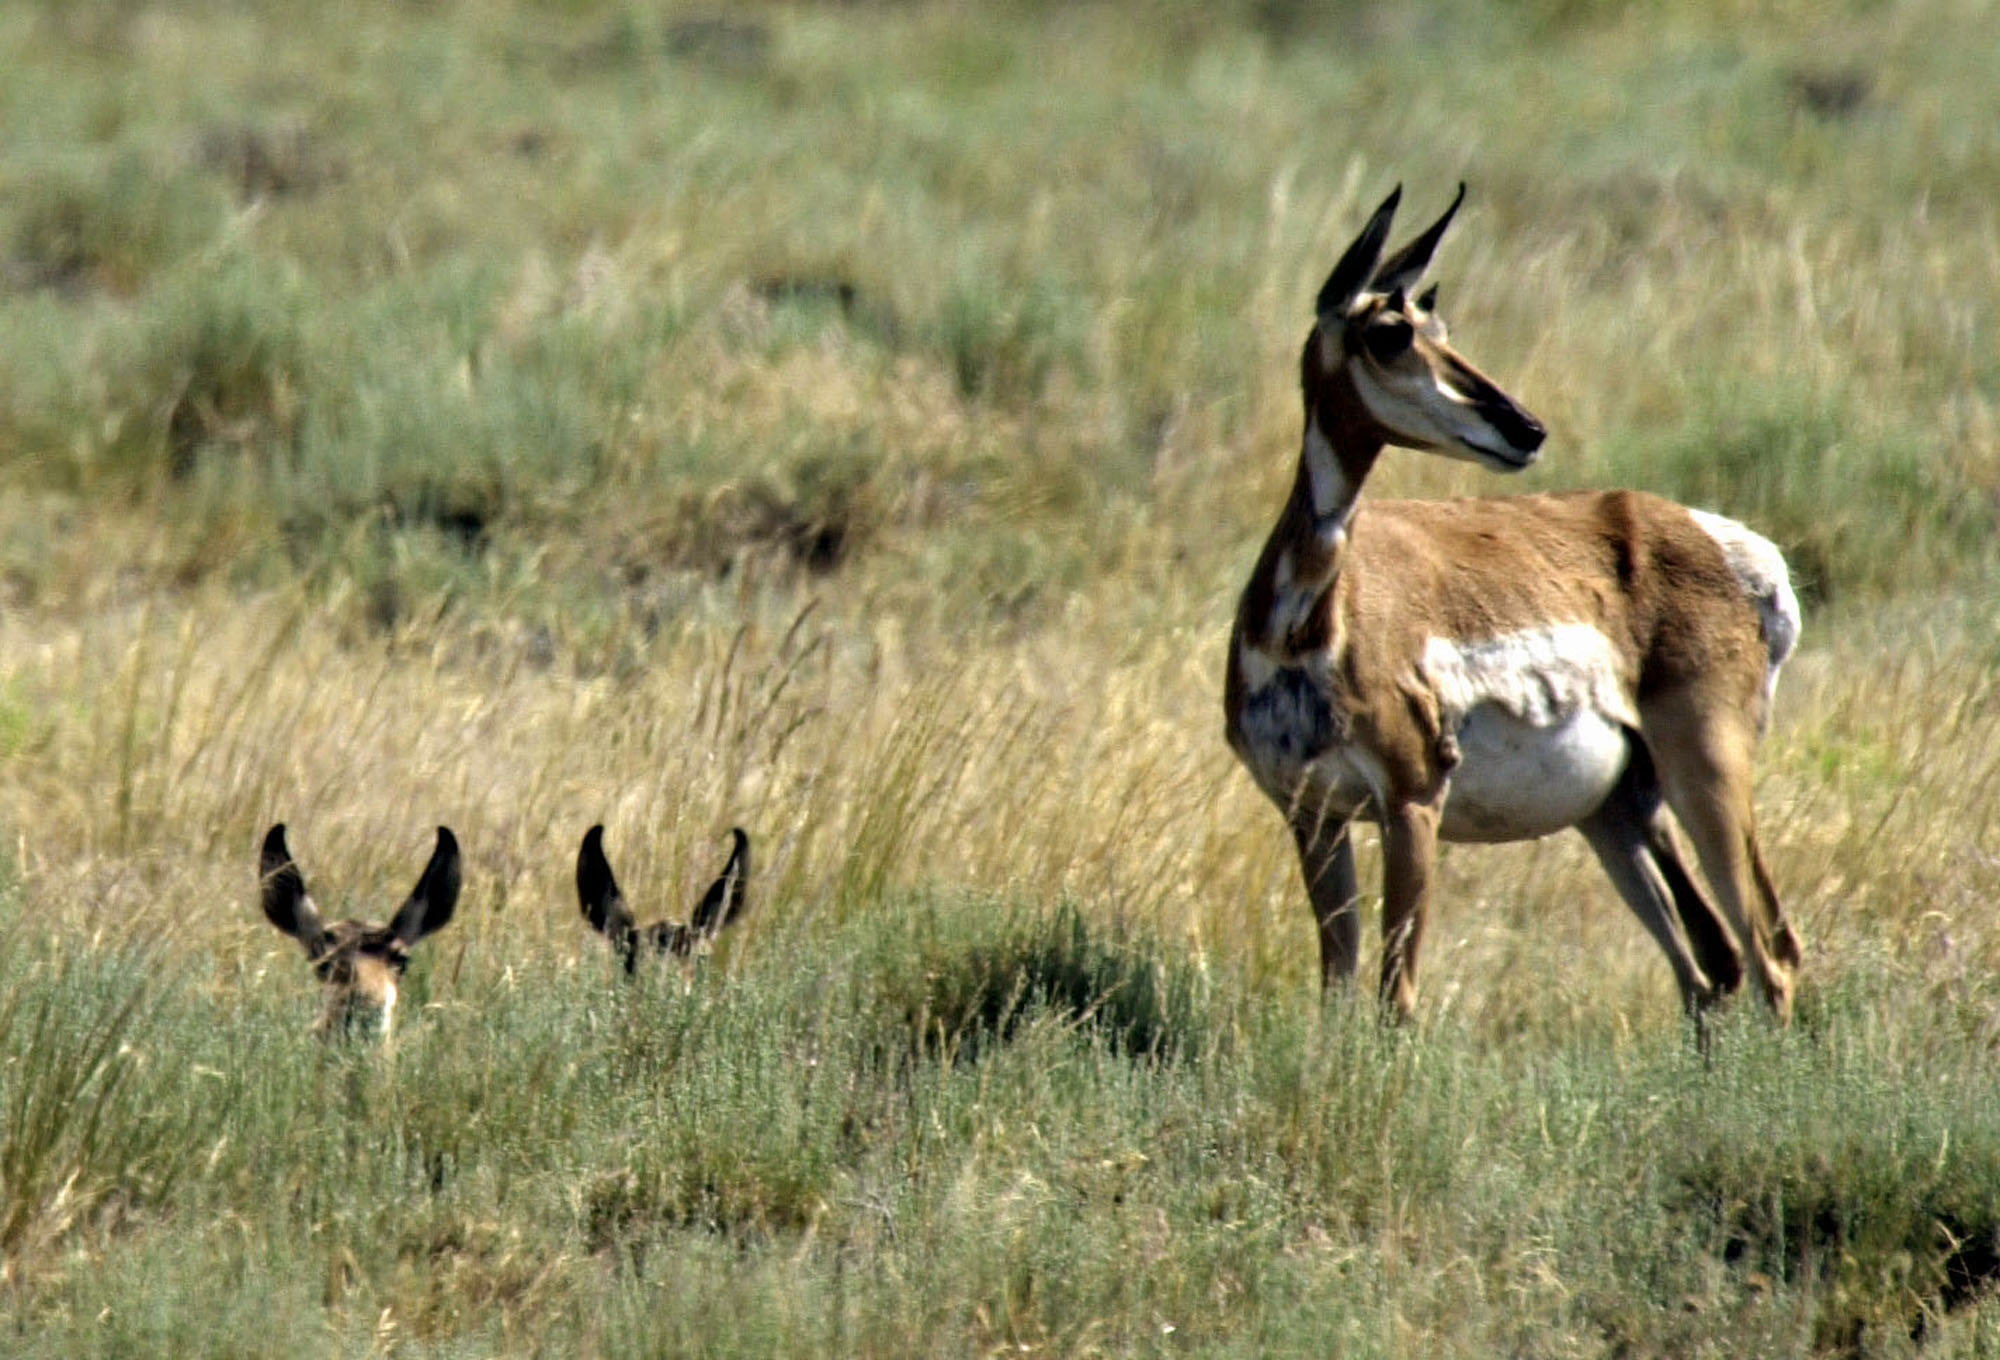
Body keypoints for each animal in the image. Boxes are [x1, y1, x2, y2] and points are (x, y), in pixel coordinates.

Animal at [1224, 184, 1803, 1023]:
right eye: (1390, 332)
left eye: (1441, 325)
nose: (1525, 429)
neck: (1306, 625)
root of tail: (1723, 542)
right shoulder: (1314, 814)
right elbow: (1337, 989)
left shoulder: (1412, 802)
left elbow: (1396, 998)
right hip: (1618, 813)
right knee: (1712, 966)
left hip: (1706, 772)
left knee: (1771, 953)